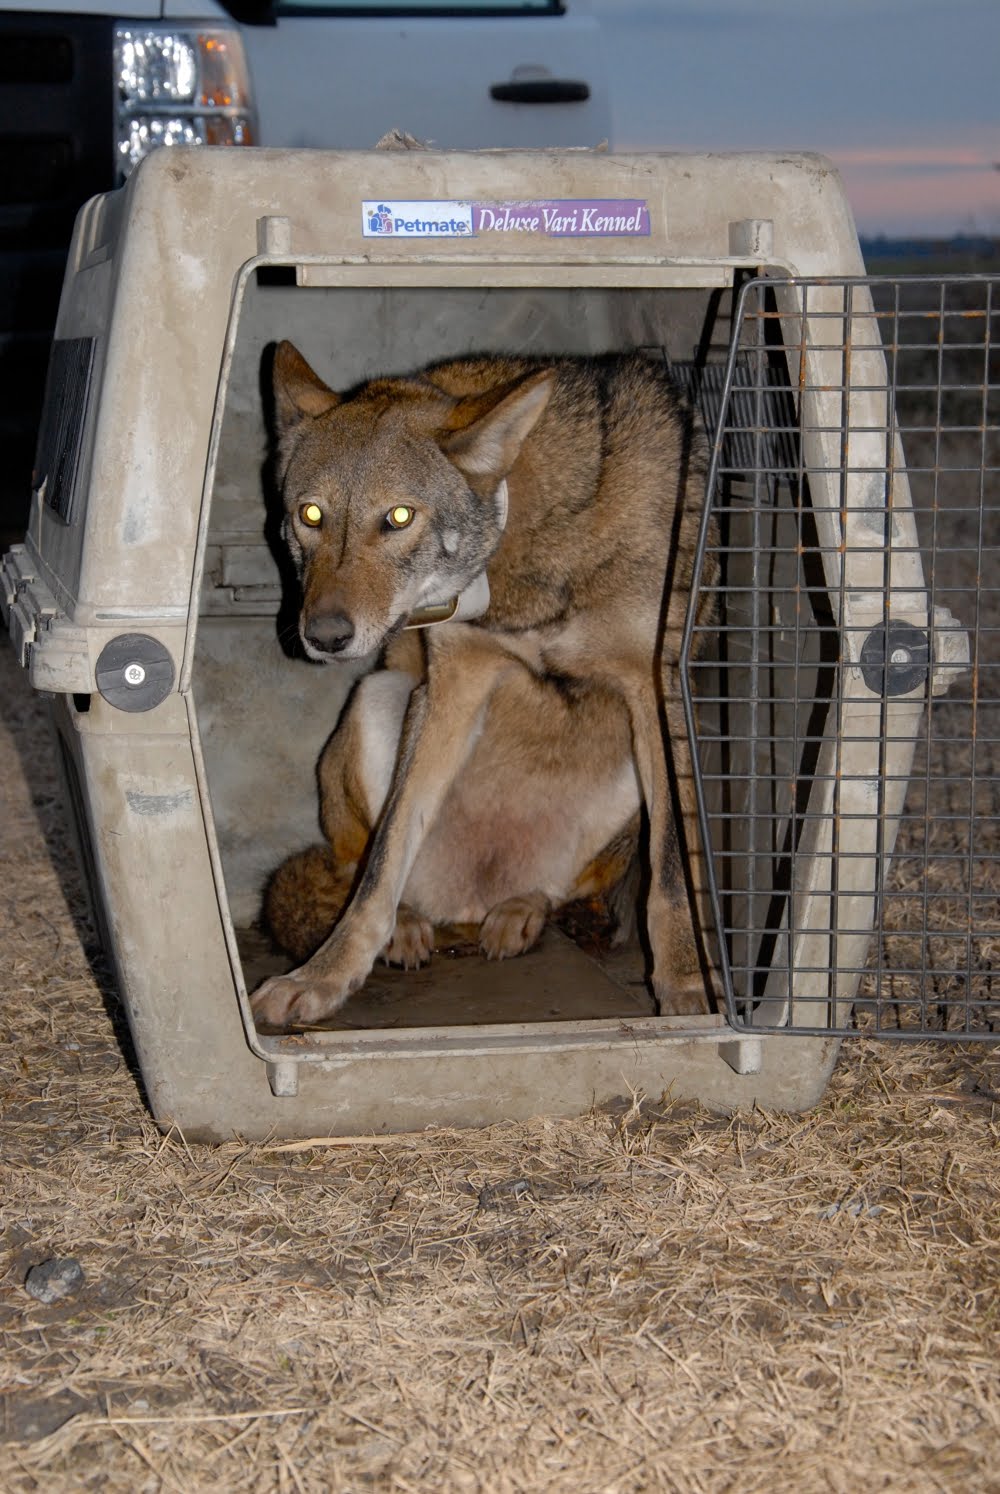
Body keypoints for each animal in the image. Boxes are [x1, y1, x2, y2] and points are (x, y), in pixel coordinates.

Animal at [251, 342, 716, 1029]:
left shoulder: (657, 698)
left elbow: (673, 879)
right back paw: (412, 927)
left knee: (554, 894)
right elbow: (379, 870)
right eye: (310, 515)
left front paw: (686, 988)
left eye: (398, 517)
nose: (324, 636)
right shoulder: (450, 686)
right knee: (371, 869)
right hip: (381, 699)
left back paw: (518, 913)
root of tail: (470, 907)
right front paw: (322, 978)